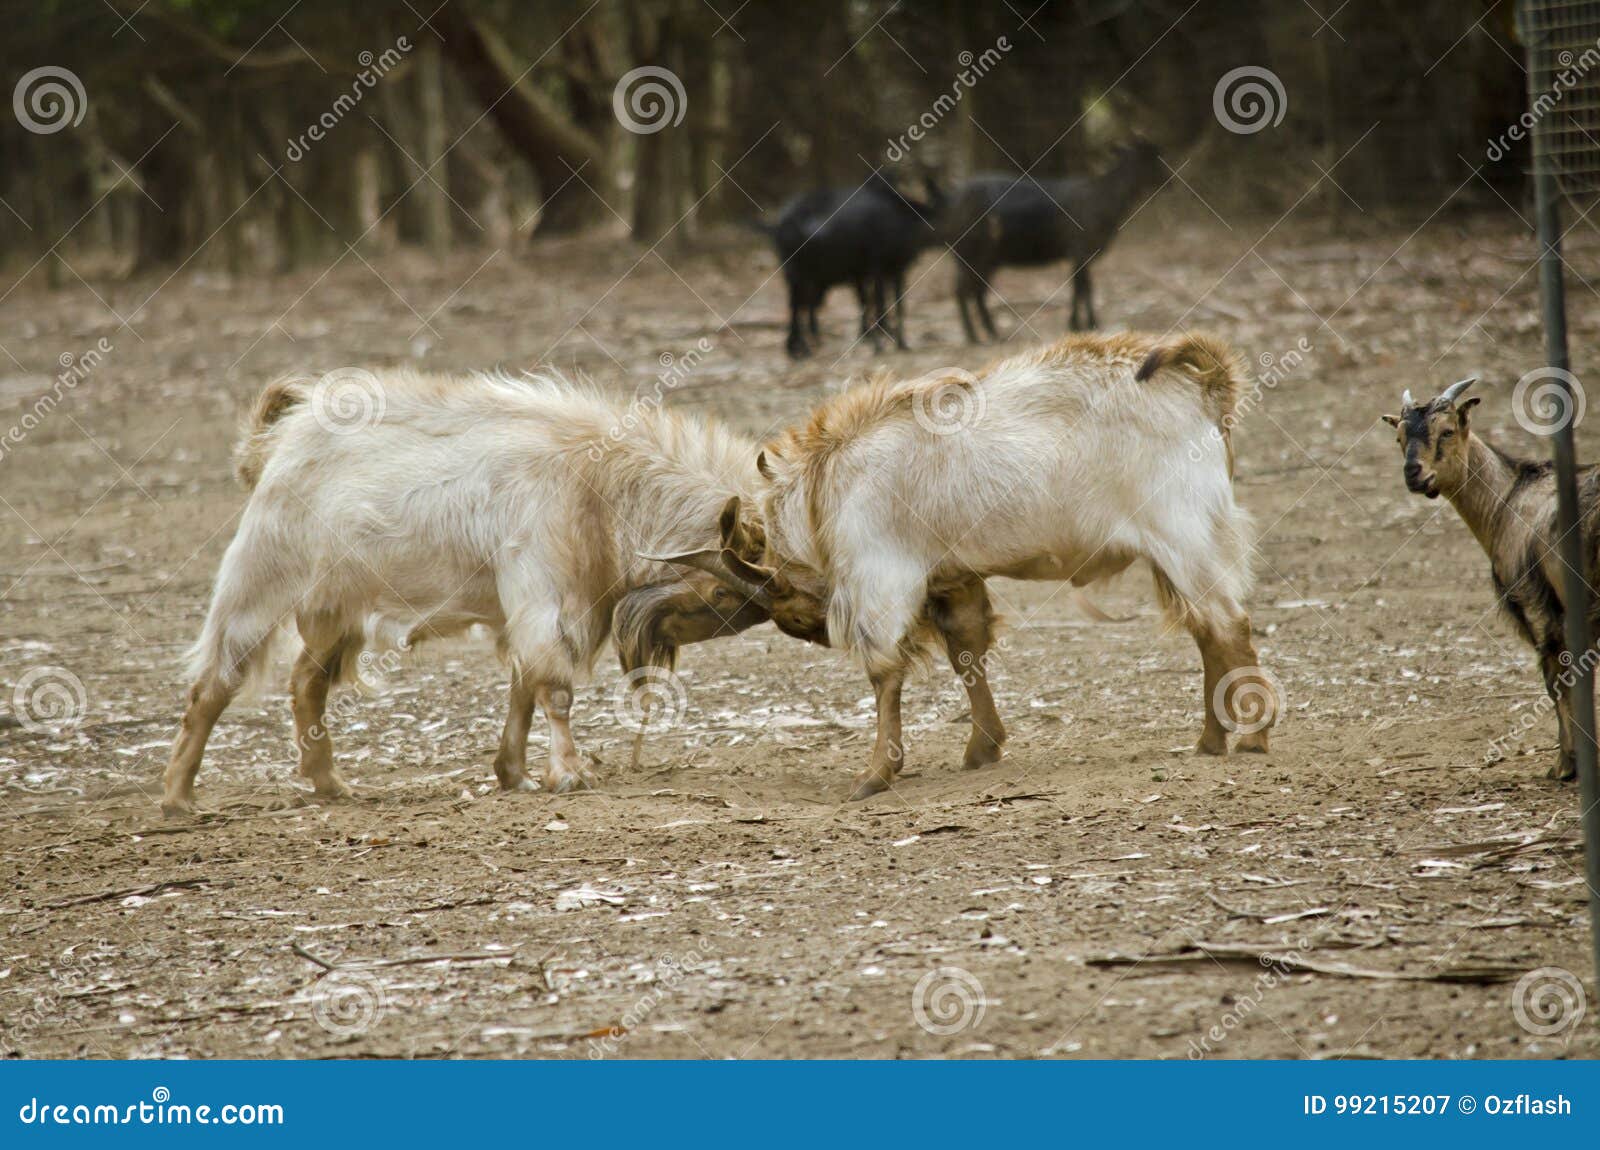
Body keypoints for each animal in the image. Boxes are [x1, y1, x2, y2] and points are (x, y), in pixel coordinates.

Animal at [161, 369, 772, 816]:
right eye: (721, 595)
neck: (595, 479)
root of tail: (278, 442)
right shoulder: (541, 595)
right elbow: (555, 690)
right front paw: (570, 772)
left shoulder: (532, 611)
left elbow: (523, 690)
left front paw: (515, 774)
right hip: (260, 584)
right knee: (213, 684)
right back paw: (179, 798)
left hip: (336, 607)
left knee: (305, 682)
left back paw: (330, 783)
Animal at [659, 332, 1277, 800]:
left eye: (784, 604)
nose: (811, 632)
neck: (826, 482)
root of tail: (1207, 386)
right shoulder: (953, 577)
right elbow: (967, 651)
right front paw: (983, 748)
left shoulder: (880, 577)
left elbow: (885, 673)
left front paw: (875, 775)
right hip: (1176, 553)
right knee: (1208, 631)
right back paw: (1210, 741)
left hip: (1186, 538)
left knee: (1229, 625)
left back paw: (1252, 737)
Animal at [764, 171, 944, 359]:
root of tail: (783, 221)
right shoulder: (876, 268)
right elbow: (877, 302)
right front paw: (878, 341)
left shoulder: (891, 270)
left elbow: (891, 304)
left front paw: (897, 341)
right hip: (800, 274)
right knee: (798, 305)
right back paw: (801, 346)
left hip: (798, 275)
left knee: (799, 304)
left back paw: (797, 346)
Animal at [945, 139, 1164, 343]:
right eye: (1150, 158)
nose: (1168, 182)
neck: (1102, 199)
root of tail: (954, 202)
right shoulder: (1079, 247)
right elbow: (1084, 286)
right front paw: (1086, 322)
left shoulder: (1082, 252)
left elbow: (1080, 286)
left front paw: (1078, 323)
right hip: (970, 252)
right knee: (963, 291)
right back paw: (973, 336)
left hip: (985, 258)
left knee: (975, 291)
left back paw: (991, 332)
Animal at [1383, 378, 1593, 781]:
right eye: (1399, 437)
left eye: (1447, 430)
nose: (1413, 473)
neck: (1507, 498)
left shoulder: (1536, 604)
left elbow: (1556, 679)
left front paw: (1565, 765)